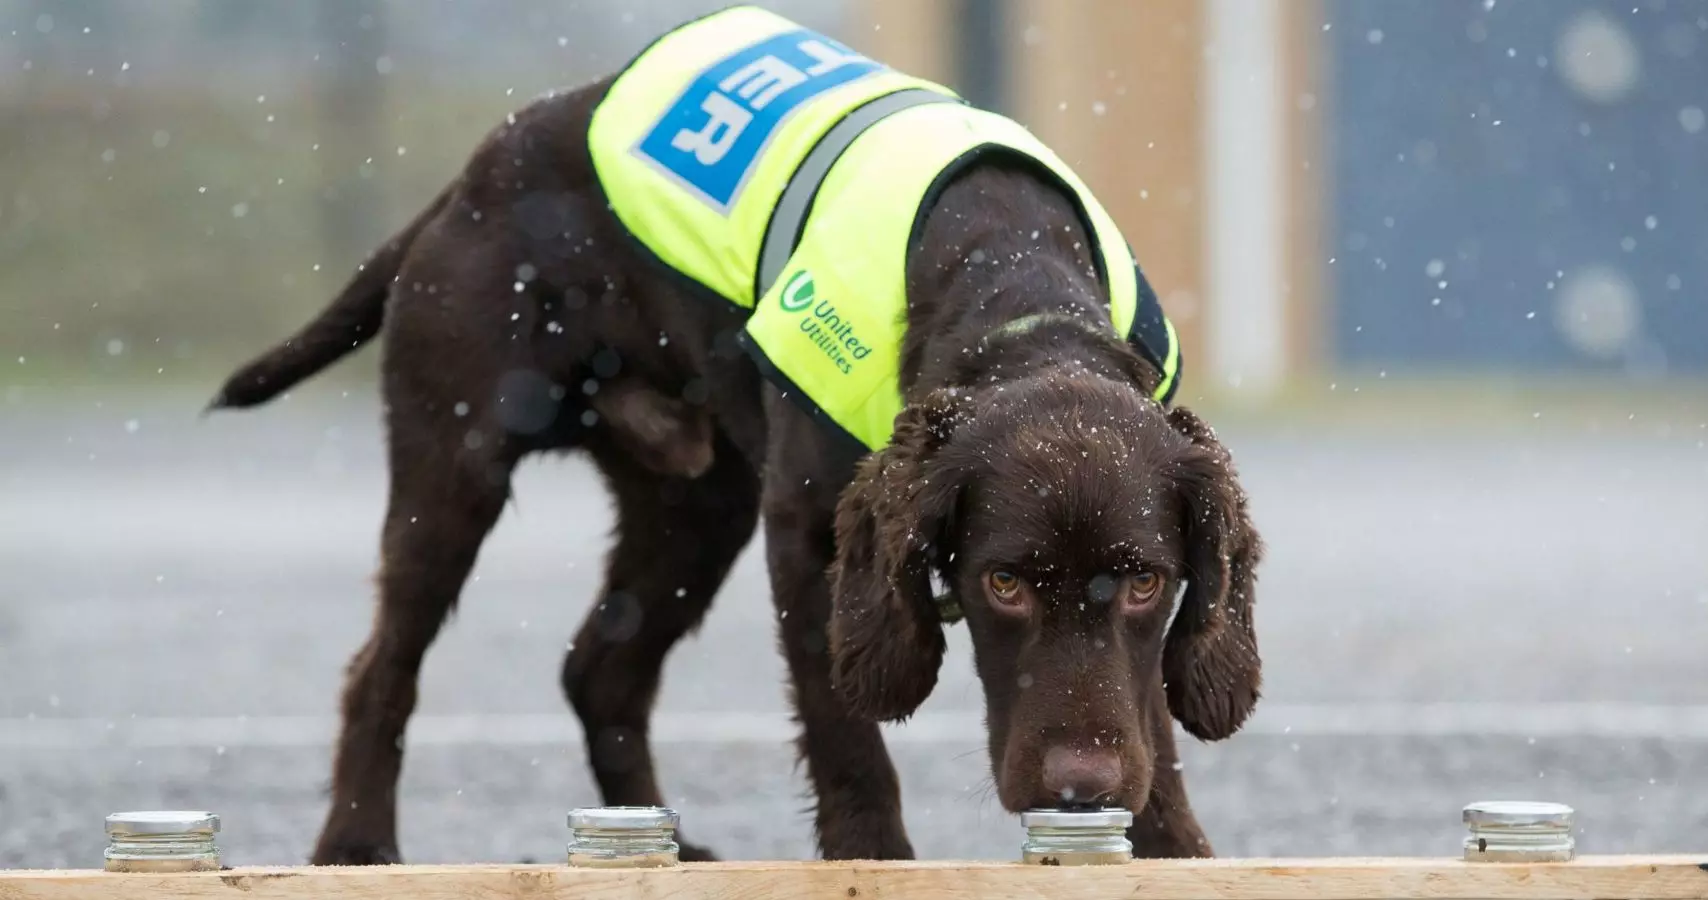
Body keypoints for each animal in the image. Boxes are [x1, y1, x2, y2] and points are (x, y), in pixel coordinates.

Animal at [206, 7, 1263, 867]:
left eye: (1146, 584)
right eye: (1002, 583)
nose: (1080, 792)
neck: (1010, 289)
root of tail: (469, 177)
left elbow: (1150, 710)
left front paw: (1172, 848)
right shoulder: (812, 538)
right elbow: (844, 726)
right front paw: (872, 859)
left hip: (694, 506)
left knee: (600, 669)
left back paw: (652, 845)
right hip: (454, 468)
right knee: (383, 665)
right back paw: (355, 844)